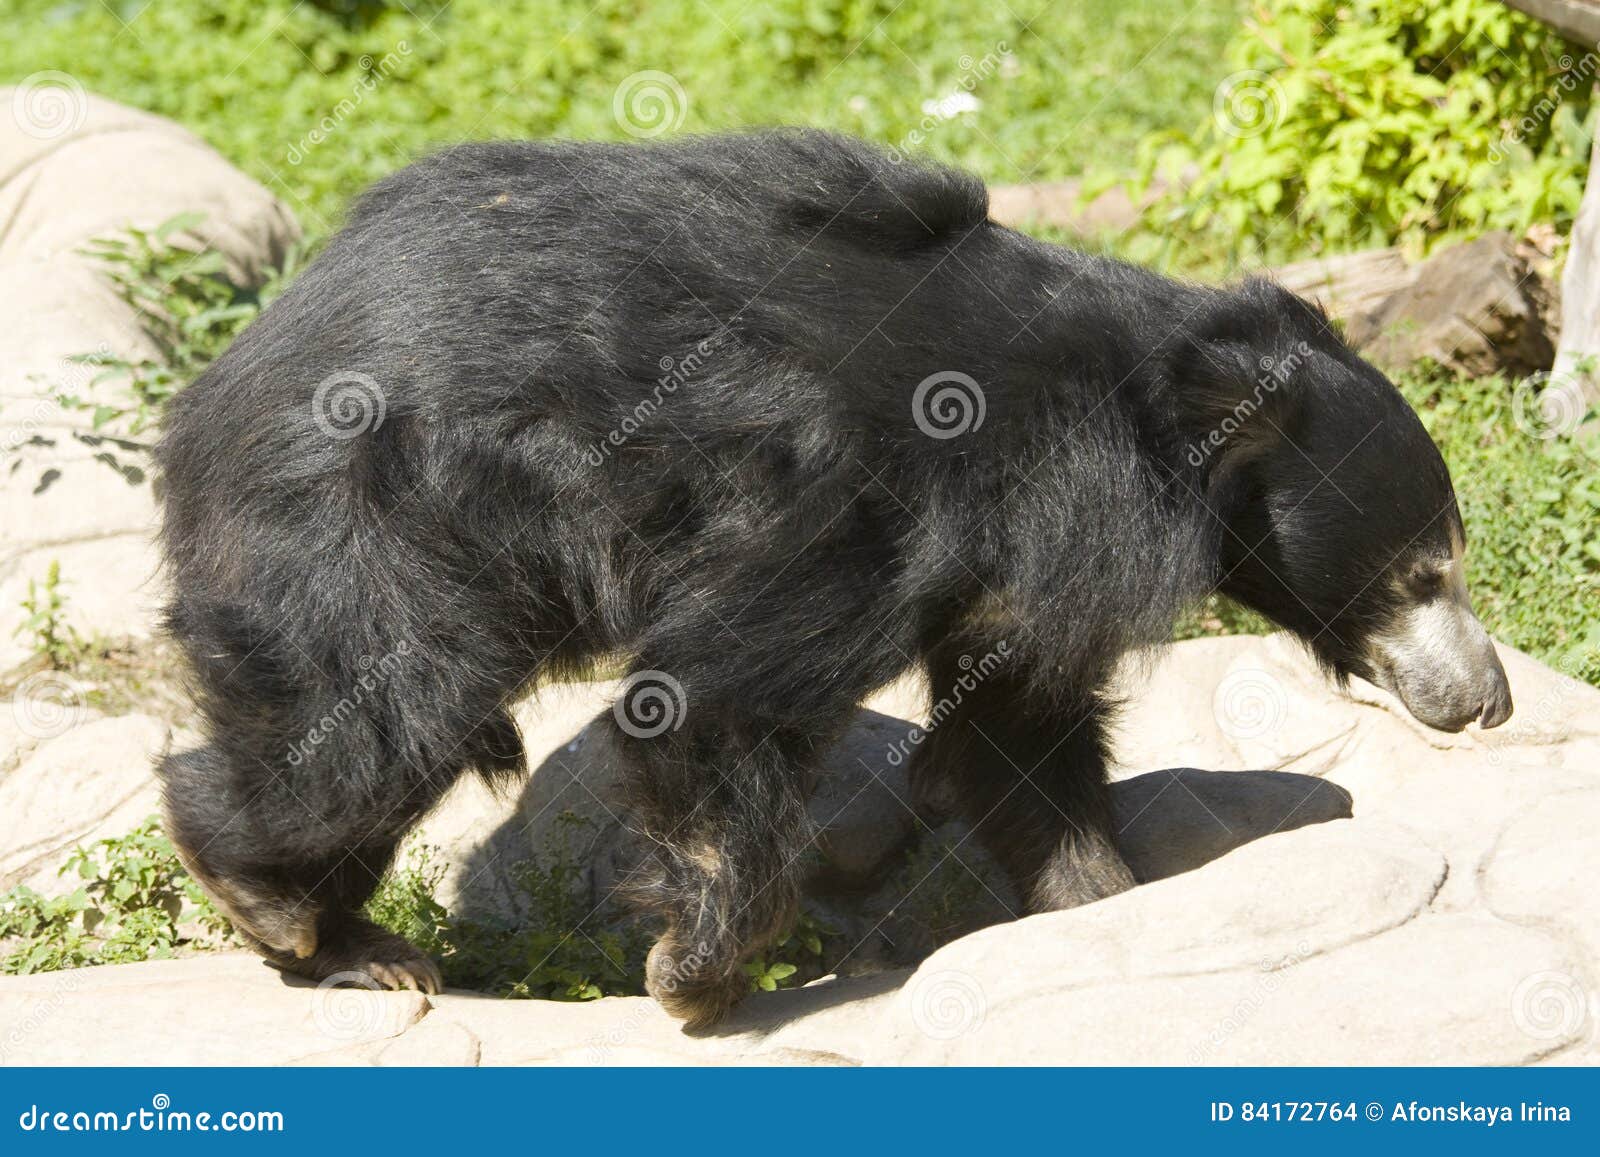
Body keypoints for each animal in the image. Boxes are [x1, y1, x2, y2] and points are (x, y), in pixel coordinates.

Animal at [154, 129, 1512, 1027]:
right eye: (1421, 574)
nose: (1485, 698)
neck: (1134, 416)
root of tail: (244, 356)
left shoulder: (1014, 556)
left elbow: (1012, 728)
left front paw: (1095, 898)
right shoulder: (860, 494)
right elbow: (714, 687)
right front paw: (696, 974)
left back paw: (353, 942)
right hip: (376, 508)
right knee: (381, 706)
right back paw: (280, 900)